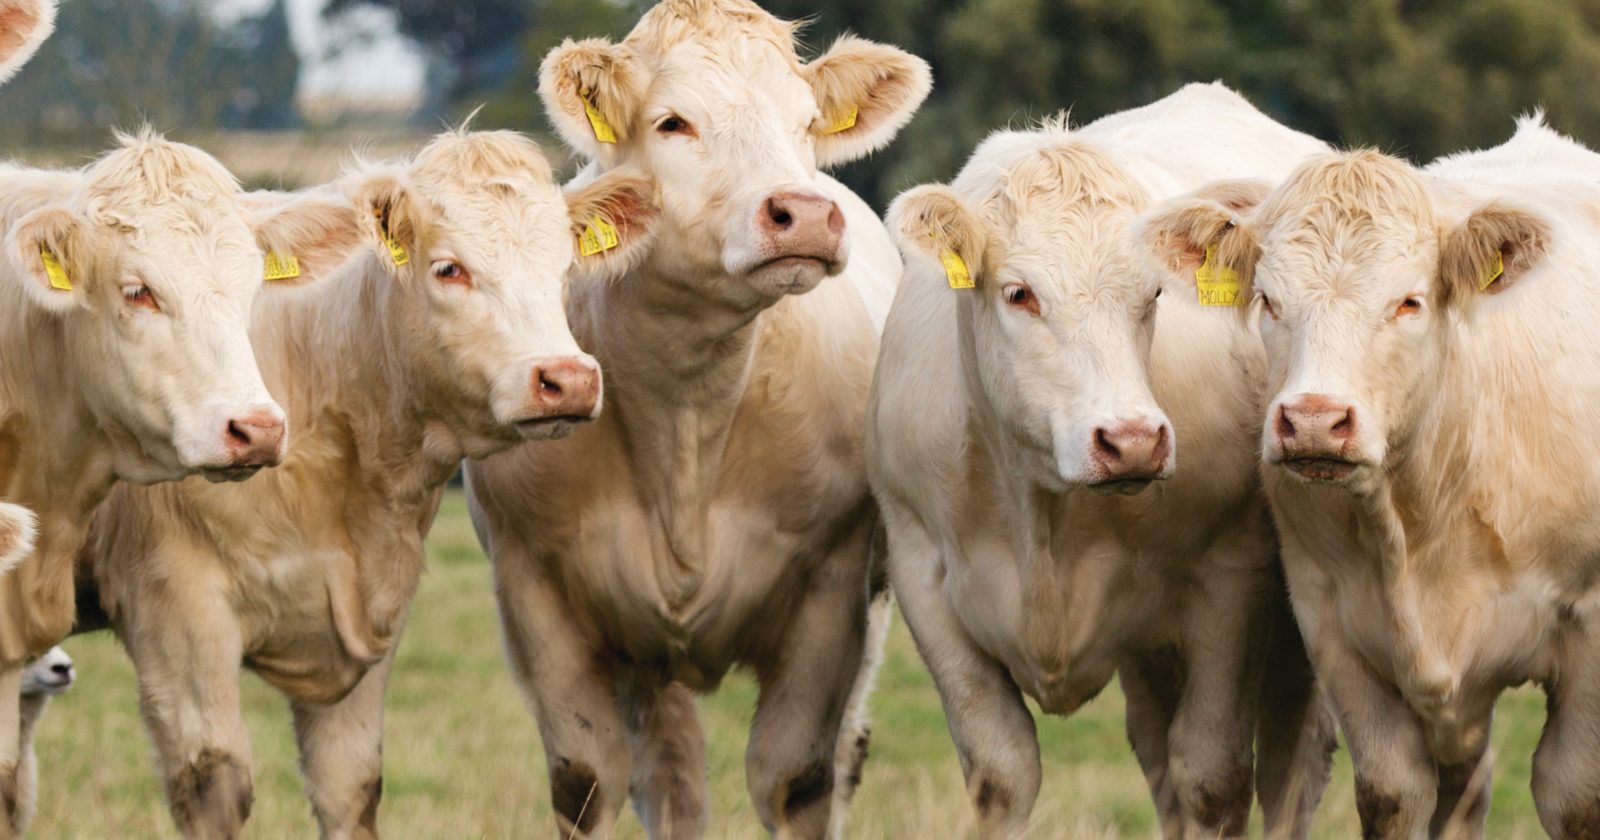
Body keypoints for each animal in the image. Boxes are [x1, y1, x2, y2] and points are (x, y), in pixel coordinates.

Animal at [76, 129, 658, 840]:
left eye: (564, 267)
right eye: (449, 269)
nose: (568, 379)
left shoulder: (369, 626)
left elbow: (351, 787)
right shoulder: (175, 610)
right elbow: (215, 785)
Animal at [462, 1, 930, 837]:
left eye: (806, 122)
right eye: (673, 122)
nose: (806, 214)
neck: (684, 416)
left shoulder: (830, 593)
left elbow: (796, 777)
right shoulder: (534, 589)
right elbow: (587, 781)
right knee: (670, 781)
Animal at [867, 84, 1338, 840]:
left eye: (1153, 295)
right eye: (1019, 293)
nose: (1133, 439)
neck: (1040, 515)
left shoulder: (1229, 581)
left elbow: (1211, 776)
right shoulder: (922, 577)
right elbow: (1003, 773)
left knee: (1292, 766)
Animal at [1136, 117, 1600, 838]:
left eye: (1409, 302)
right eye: (1268, 300)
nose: (1315, 420)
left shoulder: (1588, 634)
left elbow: (1575, 795)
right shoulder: (1333, 626)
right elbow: (1393, 791)